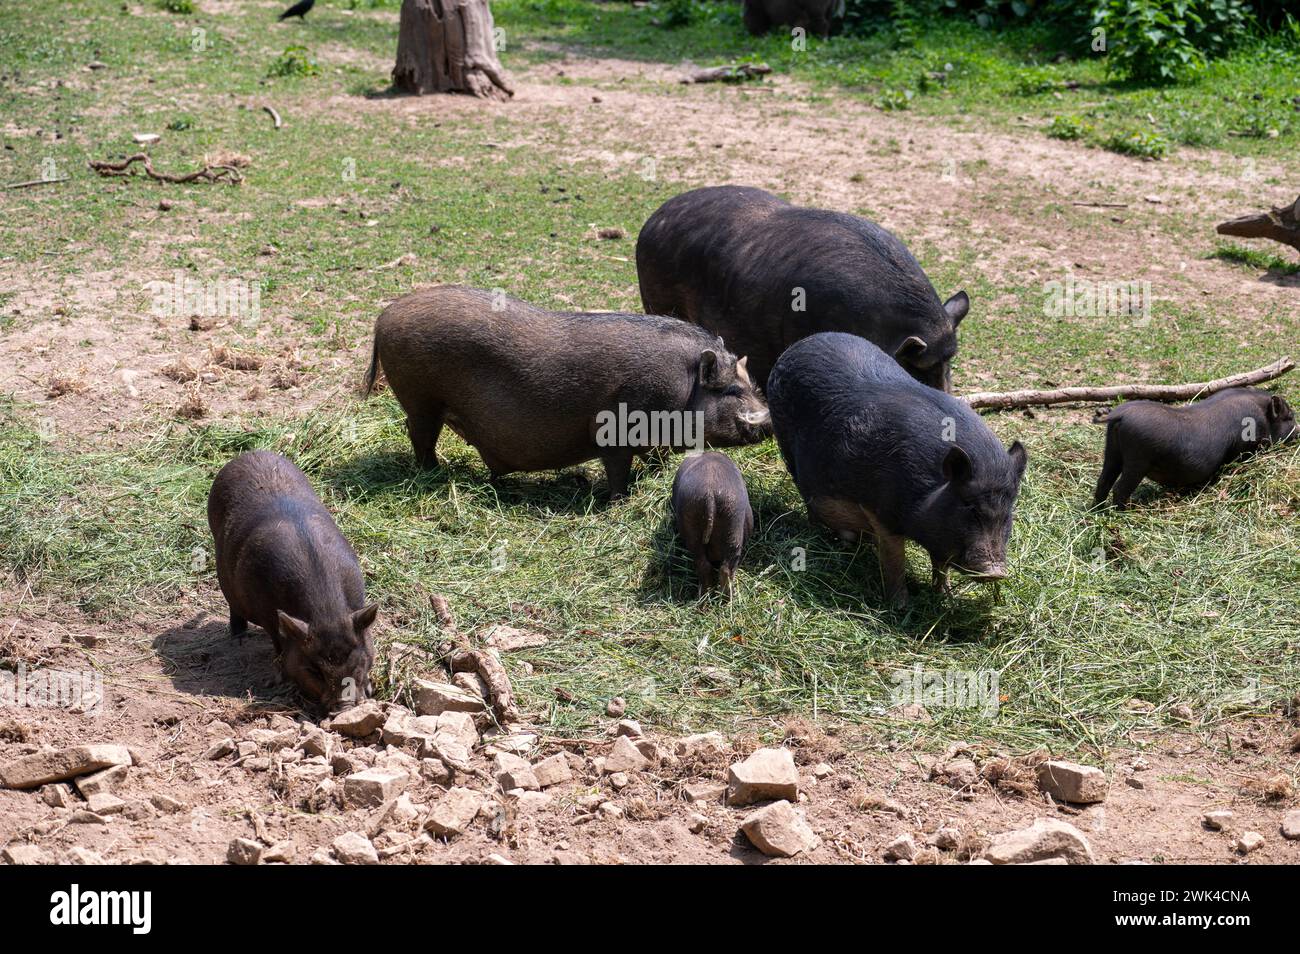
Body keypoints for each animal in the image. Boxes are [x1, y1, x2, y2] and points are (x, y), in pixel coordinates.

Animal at [207, 450, 377, 712]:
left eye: (358, 663)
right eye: (314, 671)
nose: (345, 706)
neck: (327, 611)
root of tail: (250, 453)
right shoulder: (268, 615)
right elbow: (278, 643)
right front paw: (278, 680)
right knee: (234, 607)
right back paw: (239, 639)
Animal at [363, 285, 771, 499]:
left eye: (751, 384)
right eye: (731, 389)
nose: (768, 421)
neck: (683, 387)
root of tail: (384, 317)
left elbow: (655, 457)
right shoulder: (616, 431)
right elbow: (618, 470)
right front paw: (619, 499)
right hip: (421, 400)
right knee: (419, 436)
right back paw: (435, 472)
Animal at [671, 452, 754, 598]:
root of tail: (710, 493)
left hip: (693, 522)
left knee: (703, 565)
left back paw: (705, 597)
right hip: (734, 522)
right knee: (726, 567)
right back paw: (728, 598)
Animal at [767, 332, 1028, 607]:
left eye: (1007, 512)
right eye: (969, 507)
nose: (996, 571)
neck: (929, 492)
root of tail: (801, 344)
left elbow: (940, 562)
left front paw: (946, 597)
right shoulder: (881, 511)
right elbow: (894, 559)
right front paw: (901, 606)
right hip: (786, 445)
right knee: (807, 499)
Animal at [1092, 388, 1296, 509]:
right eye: (1290, 417)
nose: (1299, 431)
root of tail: (1121, 414)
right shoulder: (1244, 448)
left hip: (1112, 450)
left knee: (1103, 481)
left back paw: (1098, 511)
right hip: (1137, 460)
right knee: (1120, 489)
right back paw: (1125, 513)